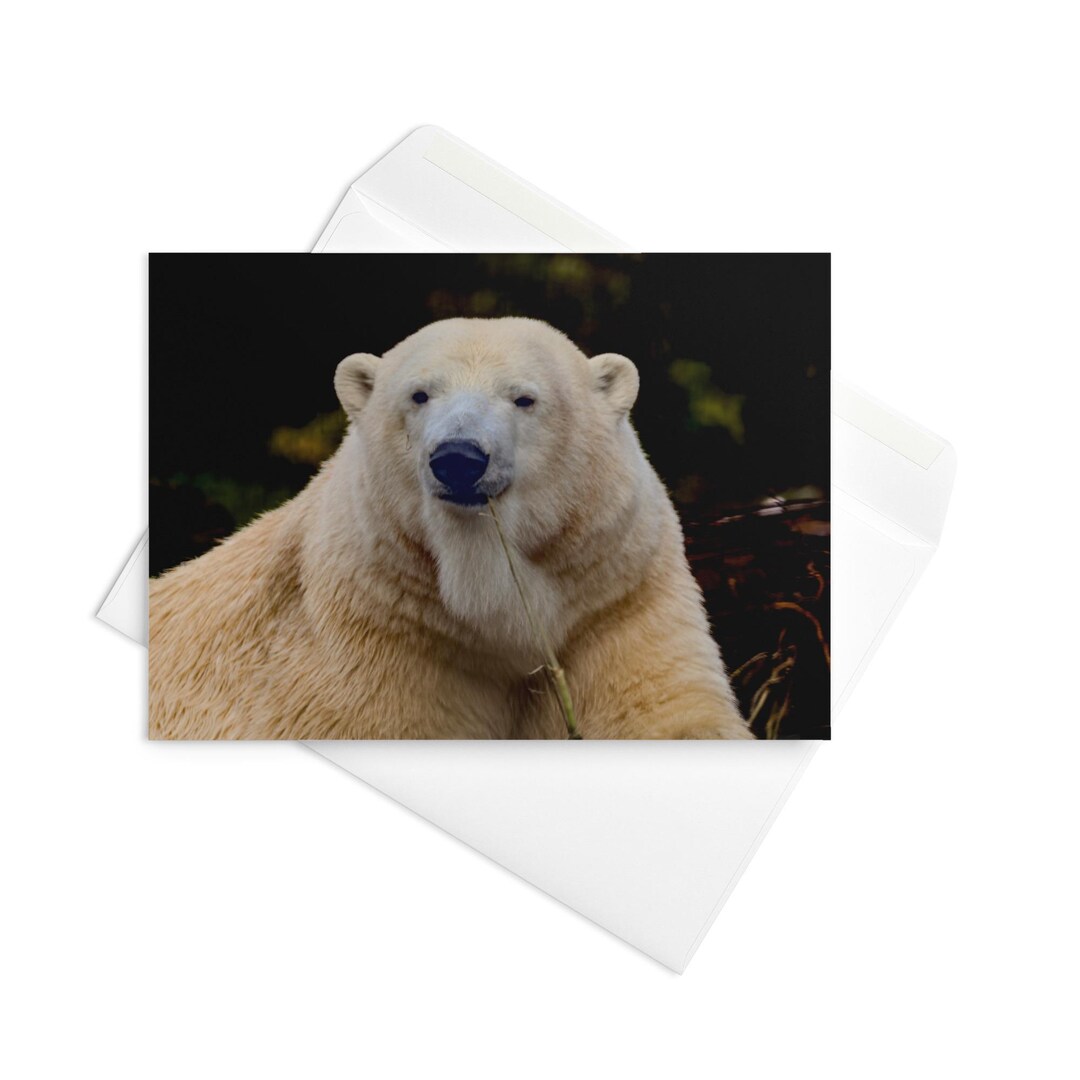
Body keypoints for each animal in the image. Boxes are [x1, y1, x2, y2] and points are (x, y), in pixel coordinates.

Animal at [149, 317, 751, 740]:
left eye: (524, 397)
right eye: (419, 394)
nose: (458, 458)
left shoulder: (611, 602)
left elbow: (660, 716)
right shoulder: (379, 636)